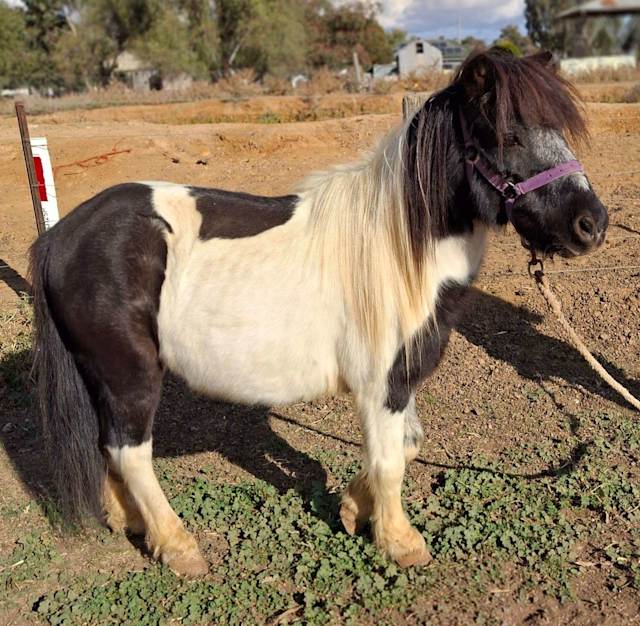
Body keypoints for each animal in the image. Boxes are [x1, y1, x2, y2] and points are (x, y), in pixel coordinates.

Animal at [29, 48, 608, 578]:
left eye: (560, 129)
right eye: (508, 134)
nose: (592, 224)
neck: (398, 249)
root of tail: (61, 237)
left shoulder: (400, 381)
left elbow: (407, 446)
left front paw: (354, 509)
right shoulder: (380, 383)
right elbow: (389, 461)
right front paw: (399, 542)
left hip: (104, 379)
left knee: (107, 447)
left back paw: (129, 521)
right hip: (130, 375)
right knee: (130, 452)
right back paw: (178, 546)